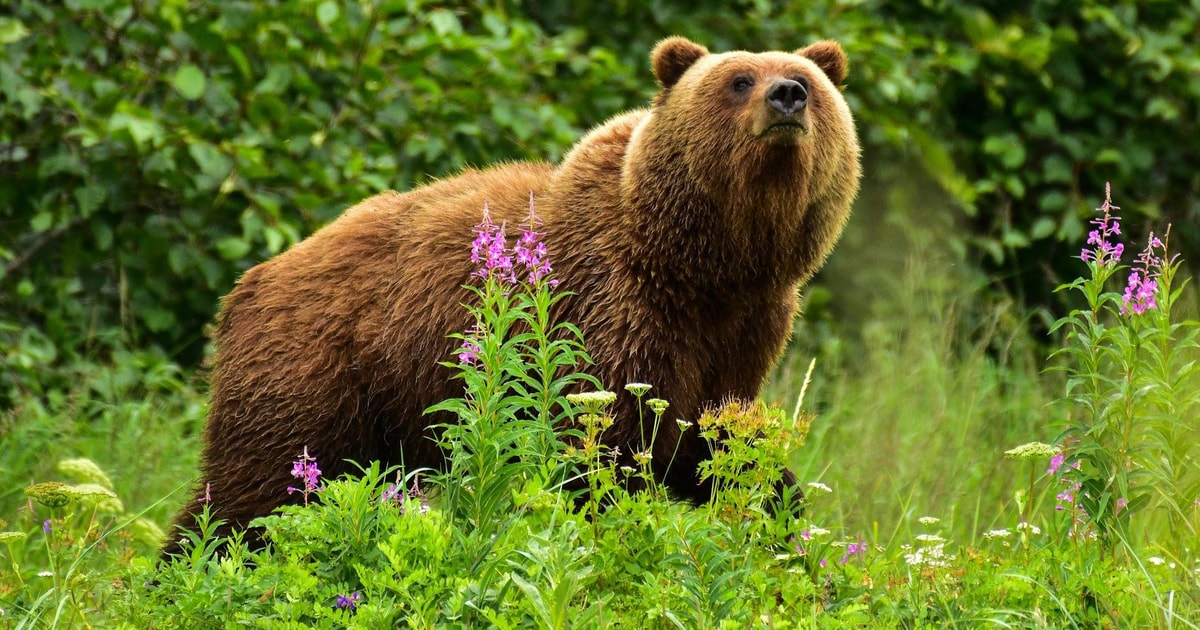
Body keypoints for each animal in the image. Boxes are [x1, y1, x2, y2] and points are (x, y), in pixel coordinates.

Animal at [162, 36, 860, 558]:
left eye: (806, 78)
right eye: (739, 79)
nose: (788, 96)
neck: (707, 263)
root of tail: (254, 278)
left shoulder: (744, 331)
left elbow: (715, 439)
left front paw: (784, 517)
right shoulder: (616, 309)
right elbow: (601, 451)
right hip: (317, 365)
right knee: (255, 489)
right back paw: (189, 567)